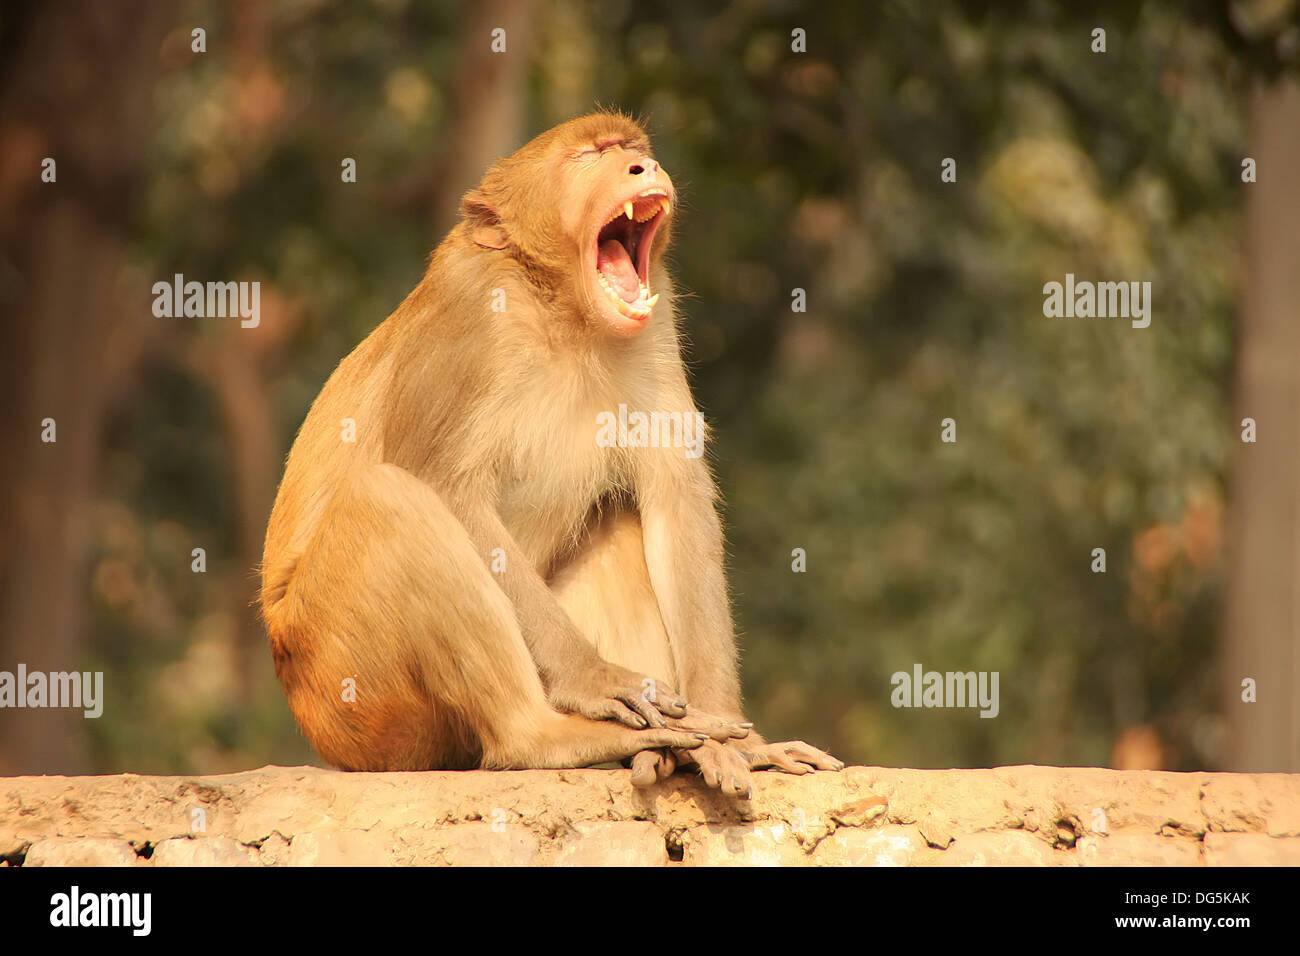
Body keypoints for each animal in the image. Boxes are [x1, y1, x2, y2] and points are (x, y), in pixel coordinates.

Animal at [260, 111, 842, 797]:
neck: (560, 311)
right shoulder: (469, 308)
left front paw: (741, 742)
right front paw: (598, 681)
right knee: (392, 500)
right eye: (591, 157)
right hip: (348, 695)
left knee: (618, 515)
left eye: (631, 149)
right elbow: (447, 488)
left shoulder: (654, 318)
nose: (643, 167)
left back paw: (659, 756)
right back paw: (543, 736)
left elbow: (674, 498)